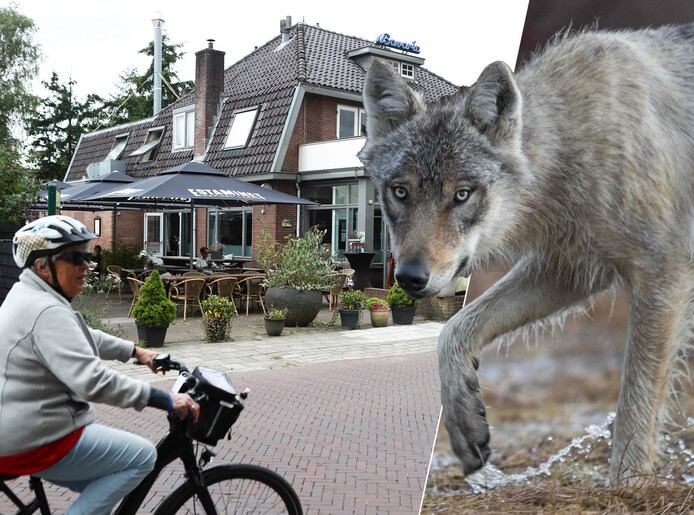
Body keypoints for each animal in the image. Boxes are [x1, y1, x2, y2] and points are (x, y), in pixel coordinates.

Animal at [358, 23, 694, 484]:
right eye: (400, 192)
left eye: (462, 195)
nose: (408, 277)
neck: (574, 146)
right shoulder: (569, 271)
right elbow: (453, 331)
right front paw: (466, 426)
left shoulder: (661, 275)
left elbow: (634, 404)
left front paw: (626, 487)